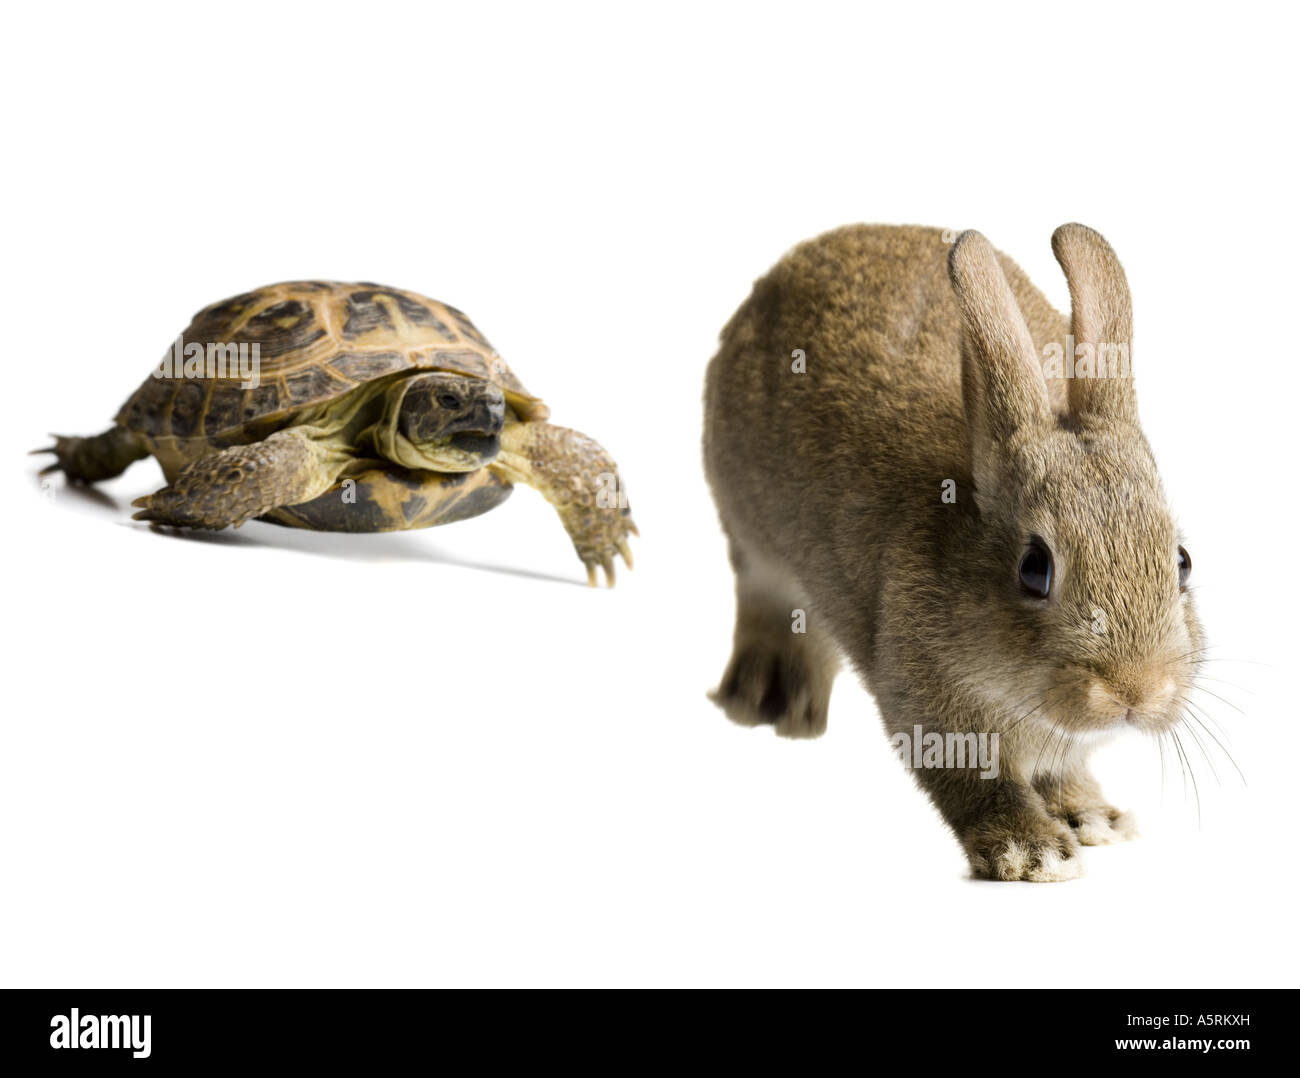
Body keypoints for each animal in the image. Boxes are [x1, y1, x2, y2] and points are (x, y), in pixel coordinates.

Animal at [702, 223, 1203, 881]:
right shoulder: (933, 712)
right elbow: (977, 786)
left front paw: (1092, 819)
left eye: (1182, 562)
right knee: (769, 604)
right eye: (1034, 569)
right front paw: (1032, 853)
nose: (1137, 692)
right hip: (753, 540)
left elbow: (1064, 773)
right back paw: (767, 704)